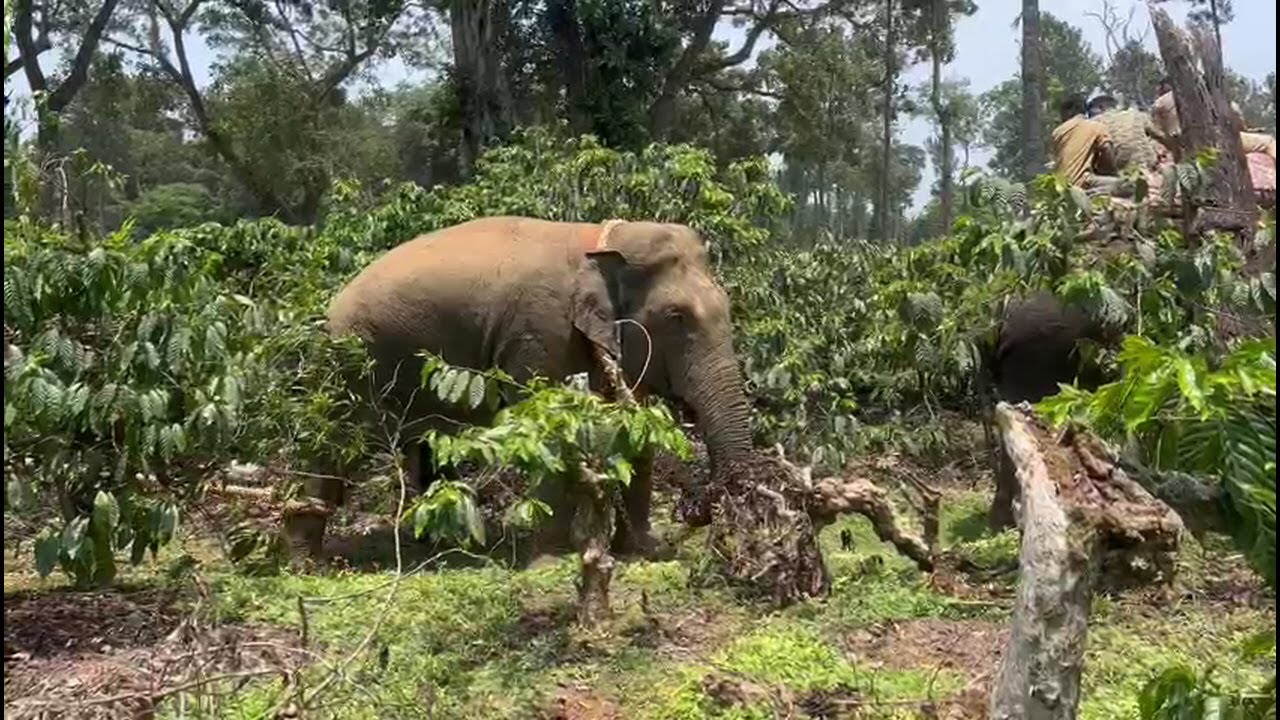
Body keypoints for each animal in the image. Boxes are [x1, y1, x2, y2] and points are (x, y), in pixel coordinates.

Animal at [291, 216, 755, 559]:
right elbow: (542, 419)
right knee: (332, 443)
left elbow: (634, 425)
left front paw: (645, 550)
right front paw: (551, 557)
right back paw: (307, 561)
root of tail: (331, 306)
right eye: (677, 317)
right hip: (351, 363)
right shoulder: (538, 331)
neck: (601, 239)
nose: (692, 510)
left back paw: (446, 547)